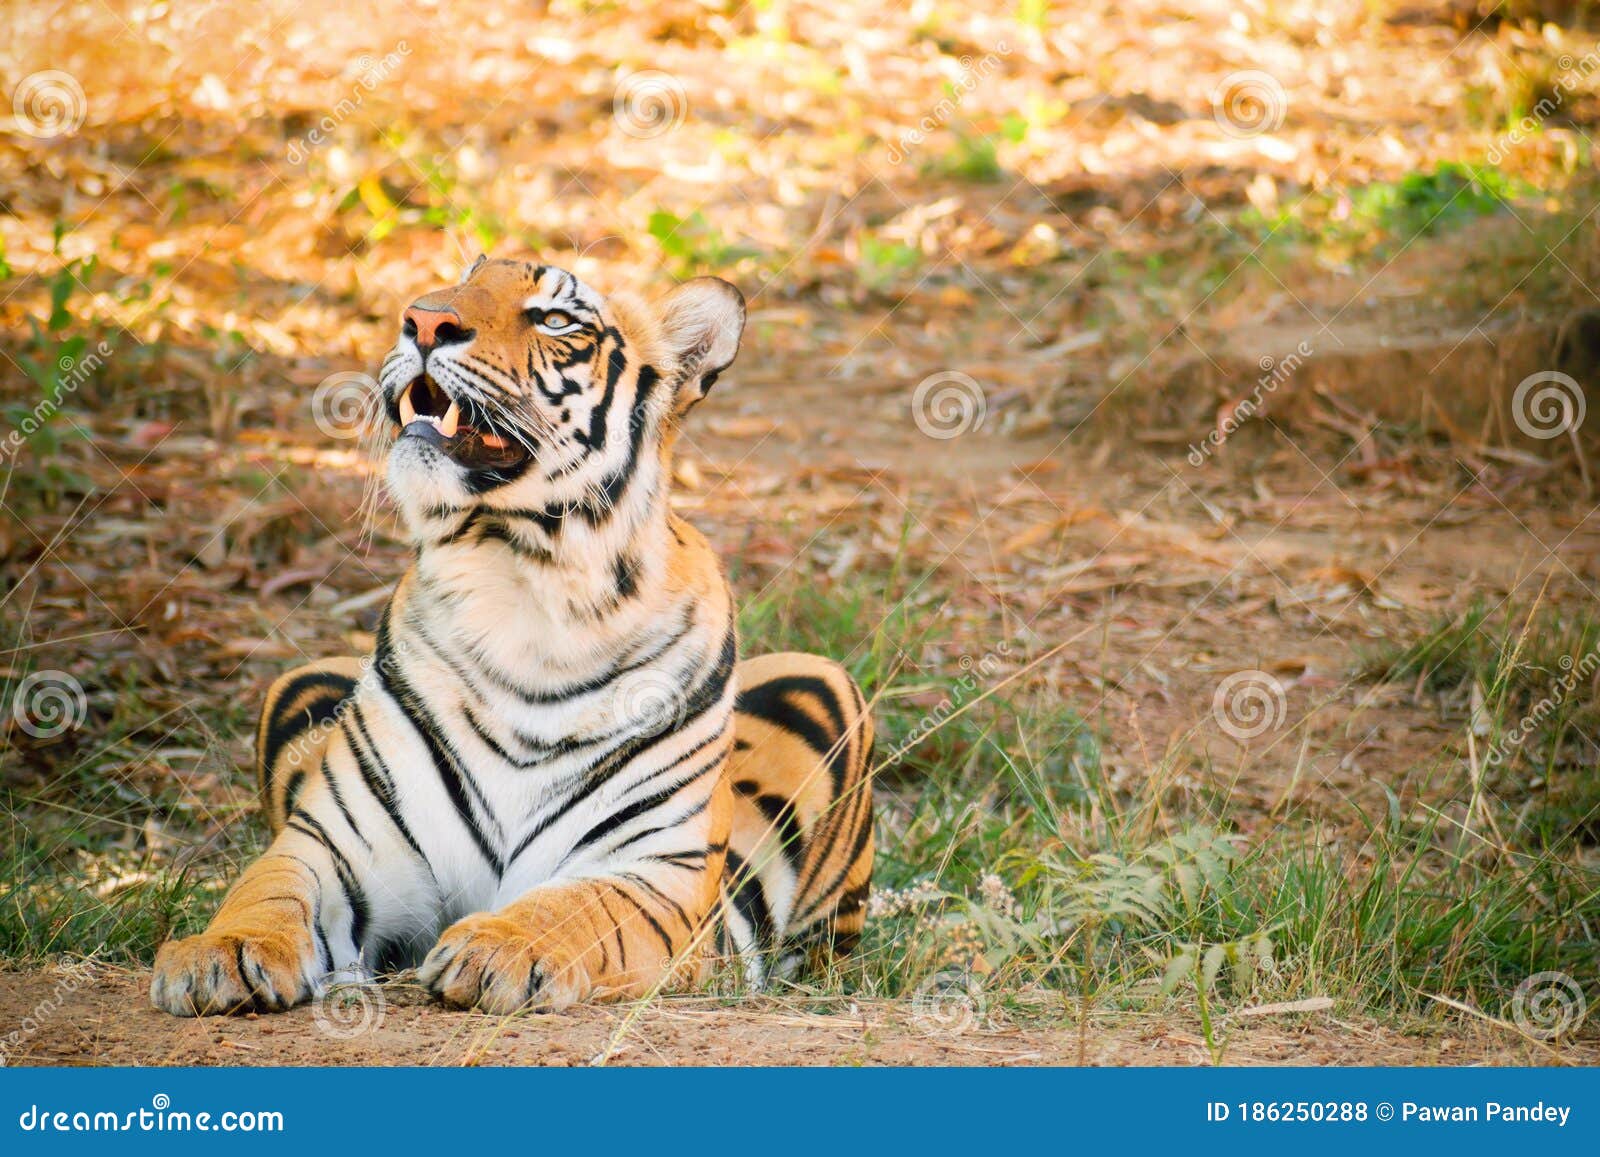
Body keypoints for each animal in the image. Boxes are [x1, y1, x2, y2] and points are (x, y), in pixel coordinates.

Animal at [149, 258, 875, 1016]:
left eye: (556, 320)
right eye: (461, 279)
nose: (422, 319)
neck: (520, 575)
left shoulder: (653, 872)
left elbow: (579, 907)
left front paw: (498, 947)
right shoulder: (331, 842)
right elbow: (266, 889)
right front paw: (221, 953)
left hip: (828, 685)